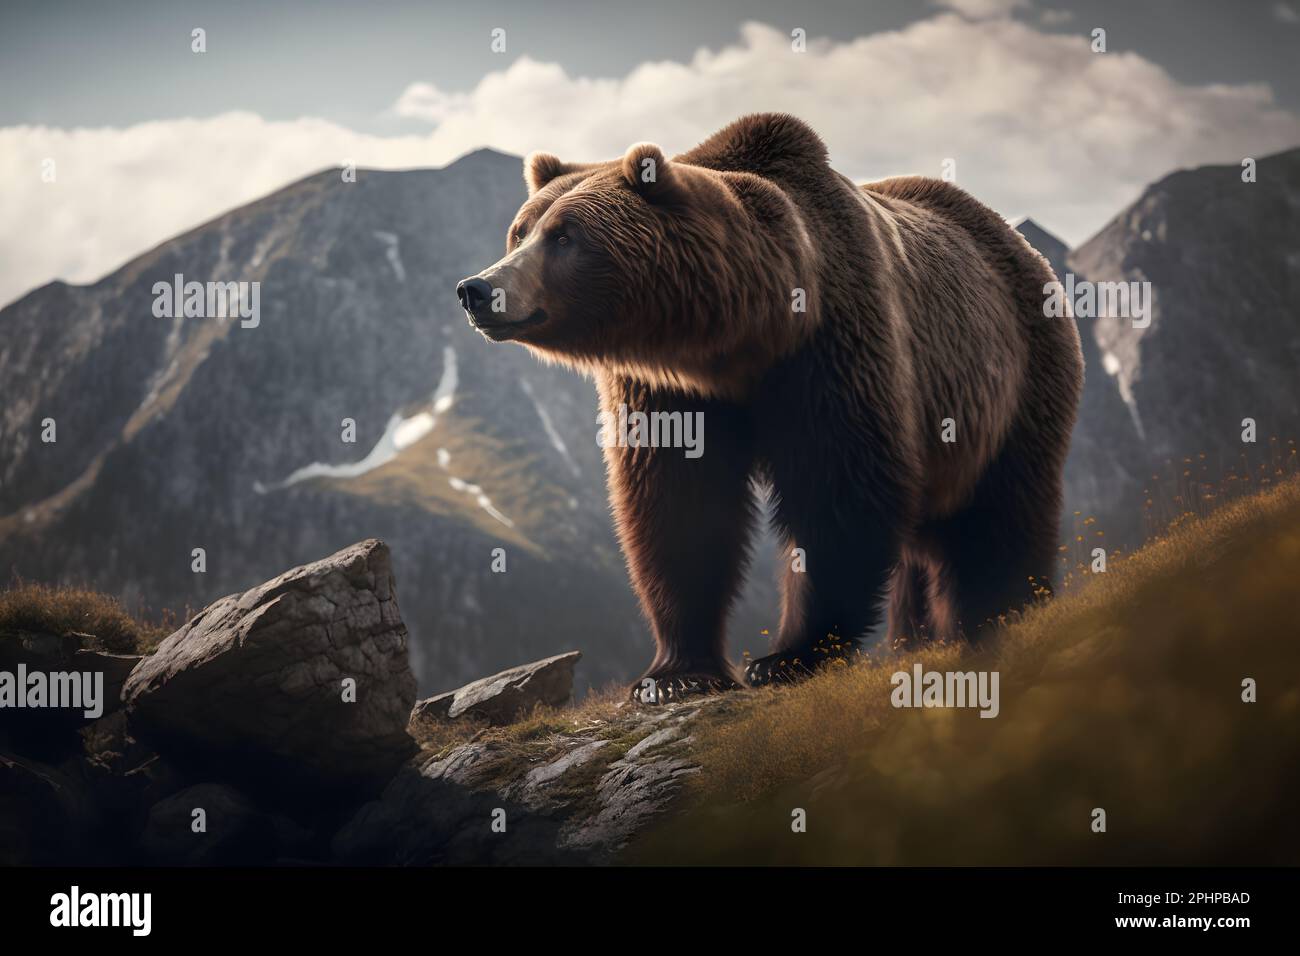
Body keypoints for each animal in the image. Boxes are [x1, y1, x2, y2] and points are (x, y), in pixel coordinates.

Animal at [457, 113, 1083, 698]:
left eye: (563, 236)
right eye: (519, 232)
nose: (477, 289)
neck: (733, 339)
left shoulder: (832, 346)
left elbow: (839, 491)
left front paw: (786, 656)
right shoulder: (672, 394)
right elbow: (677, 506)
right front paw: (675, 673)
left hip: (1016, 376)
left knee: (1003, 509)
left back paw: (1002, 615)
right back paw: (919, 638)